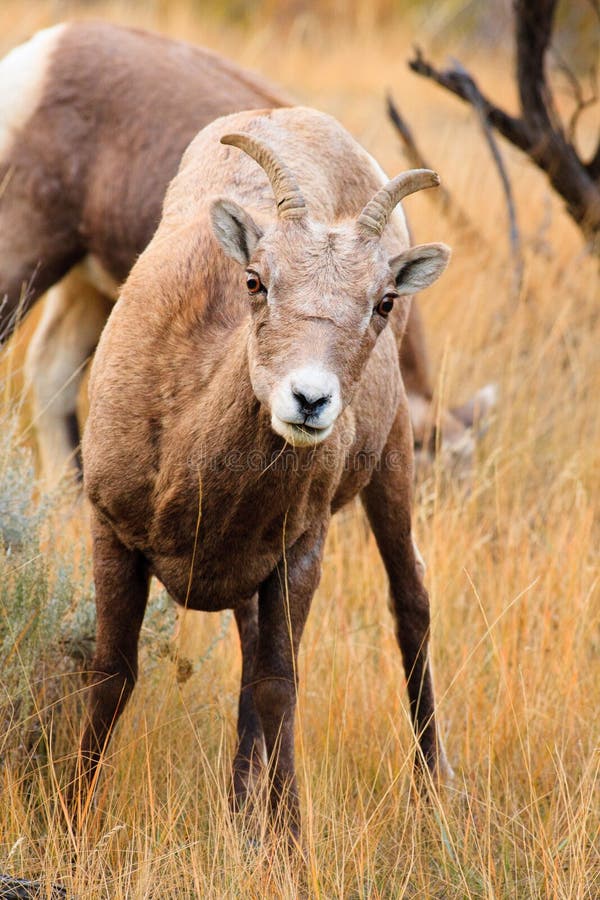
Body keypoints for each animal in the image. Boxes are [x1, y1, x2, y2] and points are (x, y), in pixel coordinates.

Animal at [76, 105, 455, 842]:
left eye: (383, 302)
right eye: (255, 280)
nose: (308, 401)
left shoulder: (299, 551)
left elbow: (278, 687)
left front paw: (288, 845)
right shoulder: (113, 534)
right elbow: (112, 677)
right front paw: (70, 827)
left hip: (393, 459)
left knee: (411, 604)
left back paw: (439, 795)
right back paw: (238, 810)